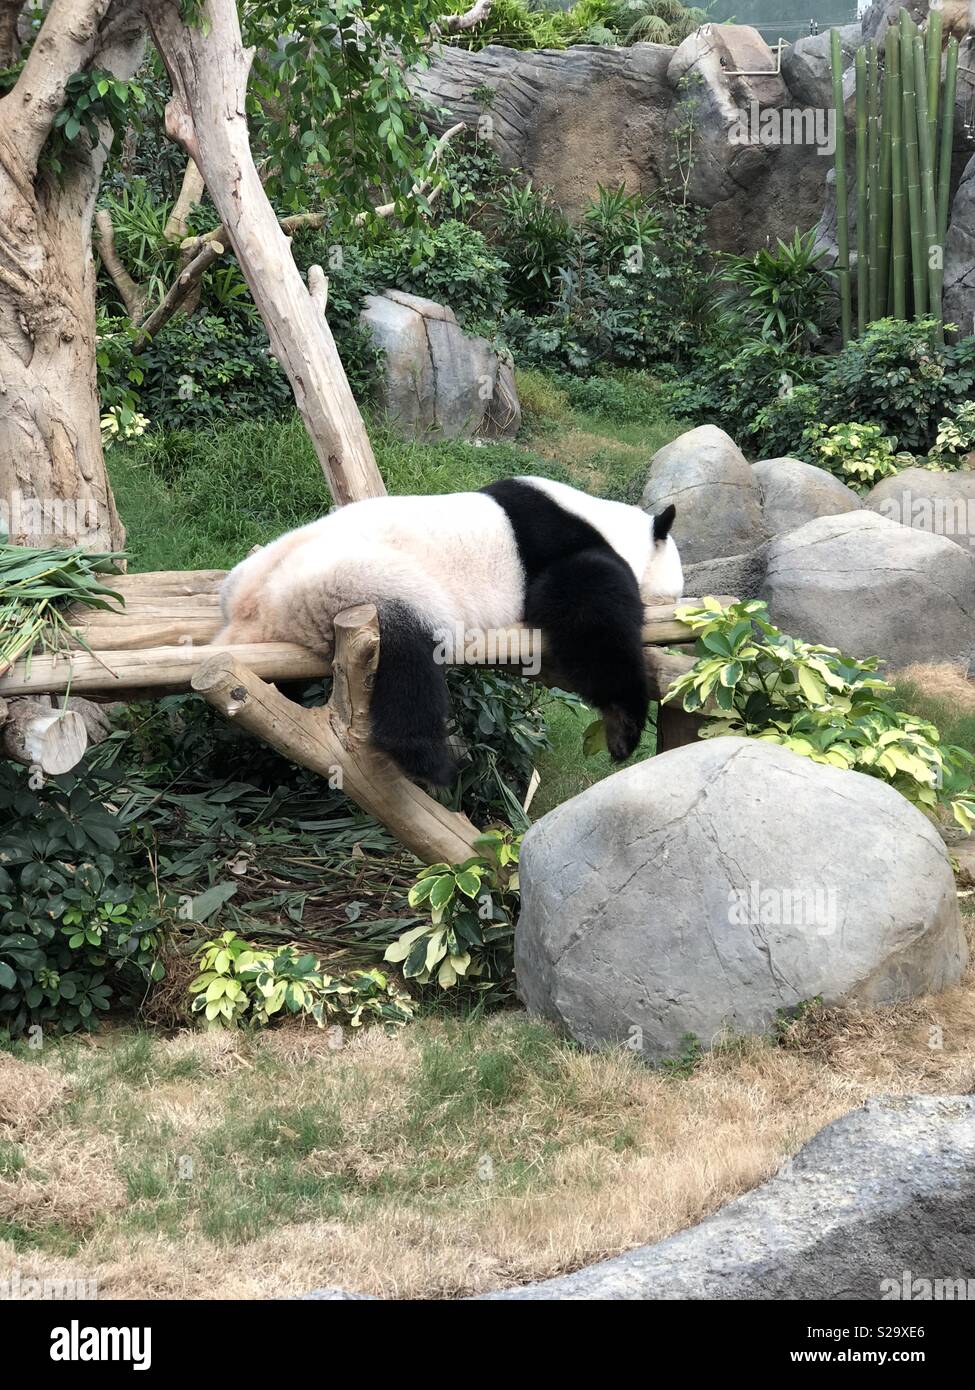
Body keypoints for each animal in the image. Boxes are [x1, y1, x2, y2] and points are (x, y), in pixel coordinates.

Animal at [215, 476, 683, 785]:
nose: (677, 599)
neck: (606, 522)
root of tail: (251, 612)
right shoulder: (553, 546)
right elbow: (590, 610)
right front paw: (623, 728)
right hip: (358, 585)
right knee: (409, 668)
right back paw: (438, 766)